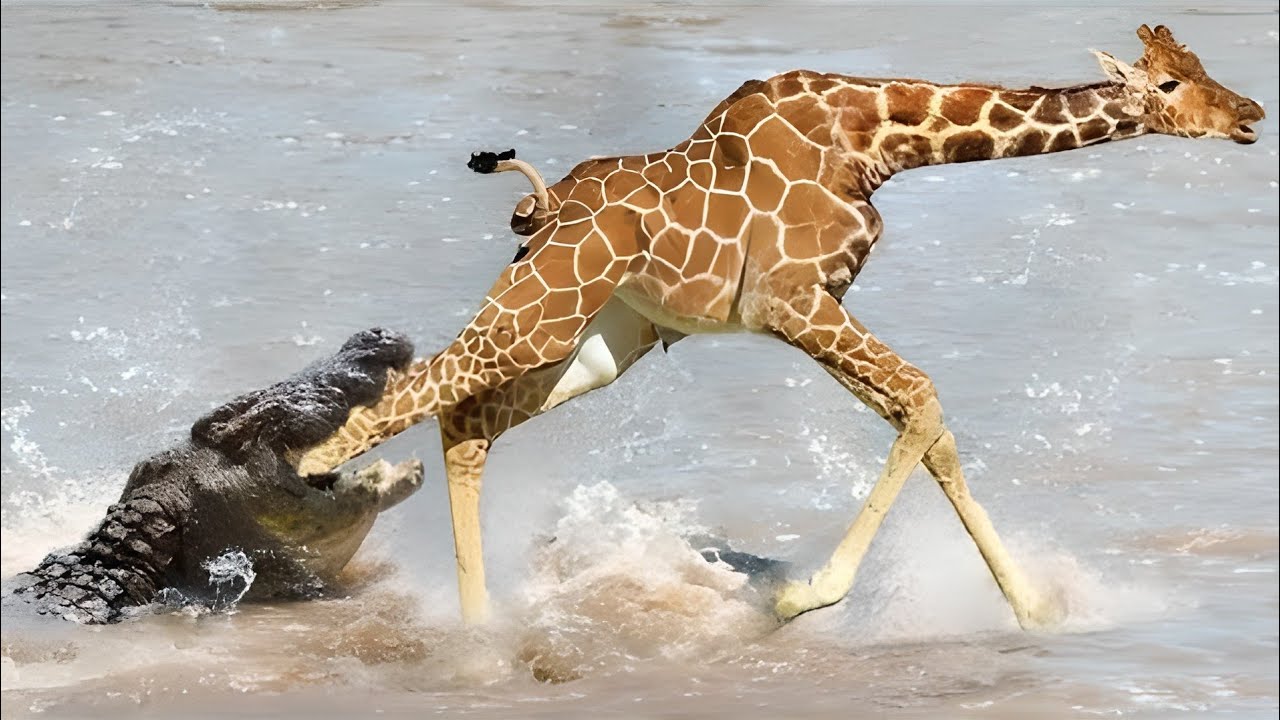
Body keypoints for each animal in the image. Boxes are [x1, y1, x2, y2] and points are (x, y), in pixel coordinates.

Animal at [290, 24, 1265, 627]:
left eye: (1204, 68)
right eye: (1172, 81)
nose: (1251, 114)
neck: (880, 142)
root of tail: (542, 208)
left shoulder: (813, 307)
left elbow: (927, 422)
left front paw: (1033, 609)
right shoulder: (792, 302)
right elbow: (924, 397)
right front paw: (800, 600)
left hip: (595, 342)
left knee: (464, 422)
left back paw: (478, 627)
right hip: (542, 319)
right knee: (394, 406)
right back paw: (300, 510)